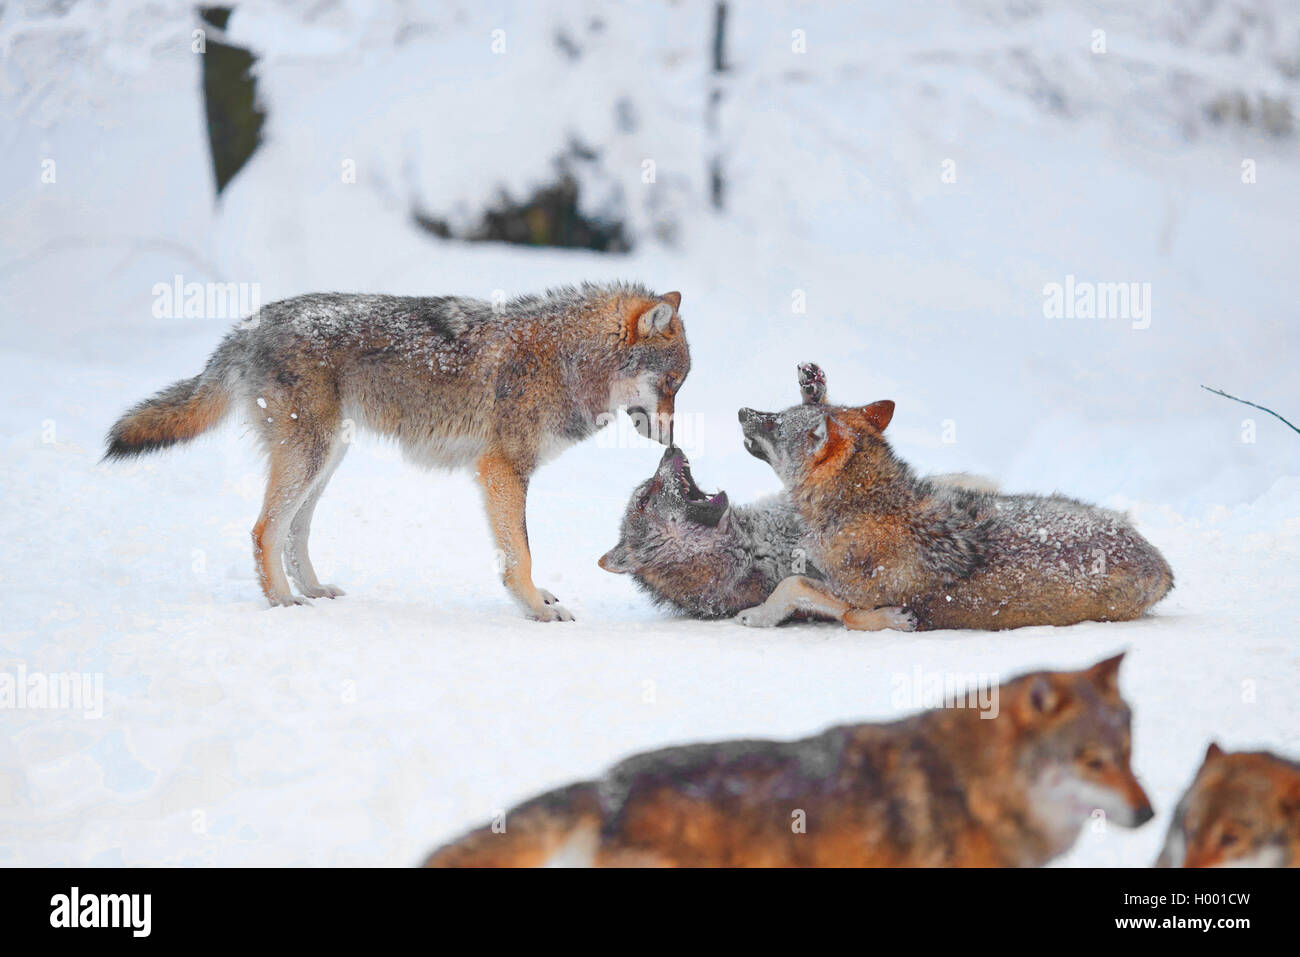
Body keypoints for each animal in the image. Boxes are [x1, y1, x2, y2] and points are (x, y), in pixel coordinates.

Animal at [104, 282, 689, 617]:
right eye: (671, 383)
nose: (673, 441)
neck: (569, 361)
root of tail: (247, 326)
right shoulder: (502, 470)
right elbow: (518, 554)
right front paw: (534, 610)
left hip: (325, 461)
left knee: (294, 531)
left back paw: (312, 591)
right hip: (309, 458)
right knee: (263, 529)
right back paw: (283, 604)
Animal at [735, 397, 1173, 631]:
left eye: (775, 422)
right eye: (779, 412)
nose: (742, 411)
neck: (864, 507)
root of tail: (1160, 564)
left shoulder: (854, 594)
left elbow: (802, 590)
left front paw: (755, 615)